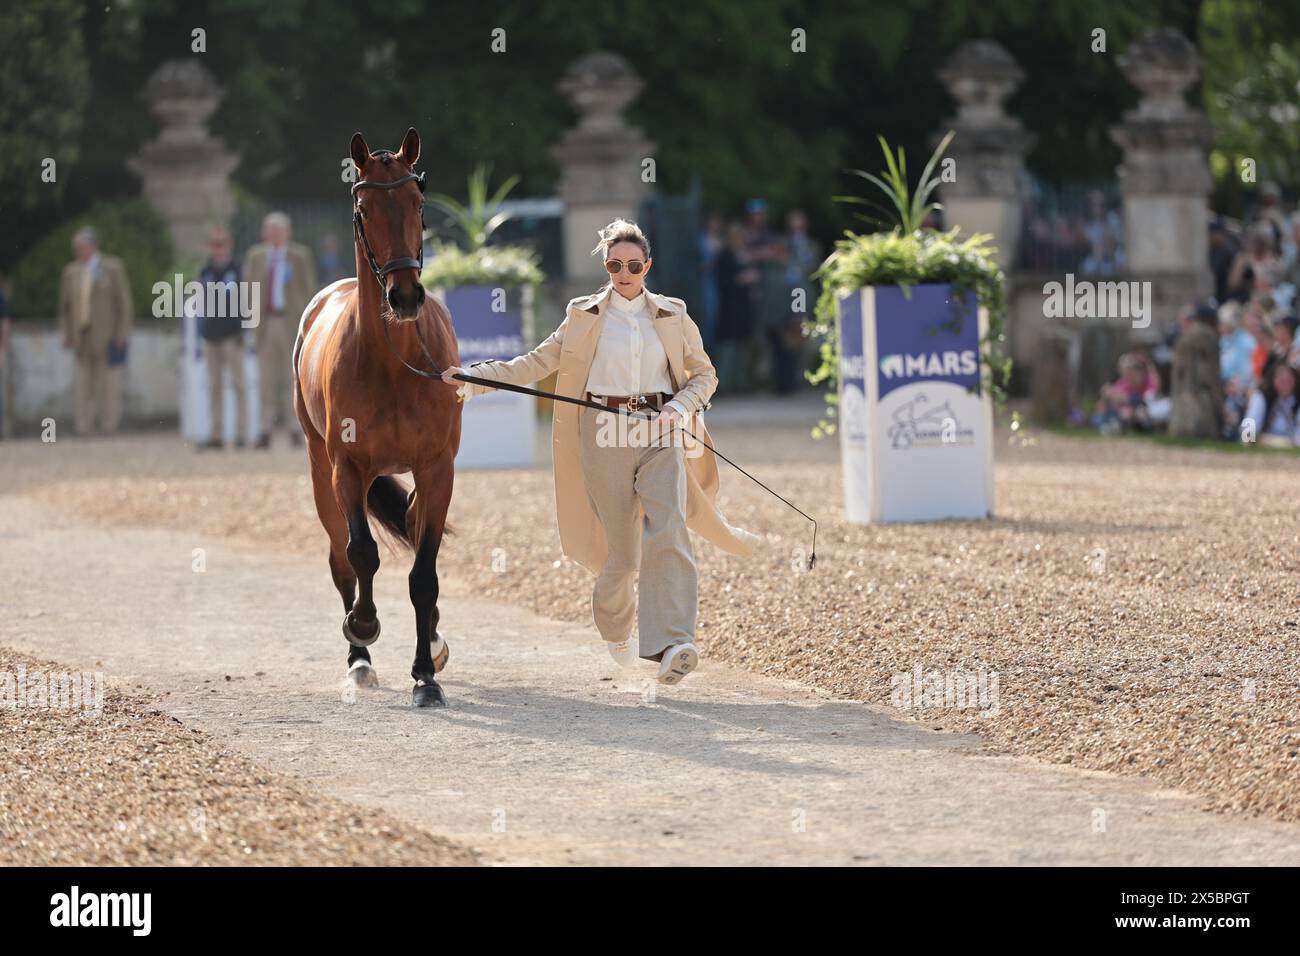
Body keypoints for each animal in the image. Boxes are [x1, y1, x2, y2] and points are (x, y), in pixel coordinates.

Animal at [293, 127, 462, 707]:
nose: (405, 295)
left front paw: (426, 675)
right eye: (364, 209)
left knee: (412, 529)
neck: (391, 361)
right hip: (321, 473)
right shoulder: (346, 468)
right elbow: (361, 553)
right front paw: (363, 628)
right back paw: (358, 659)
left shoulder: (437, 468)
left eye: (417, 202)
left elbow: (424, 573)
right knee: (341, 558)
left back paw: (432, 638)